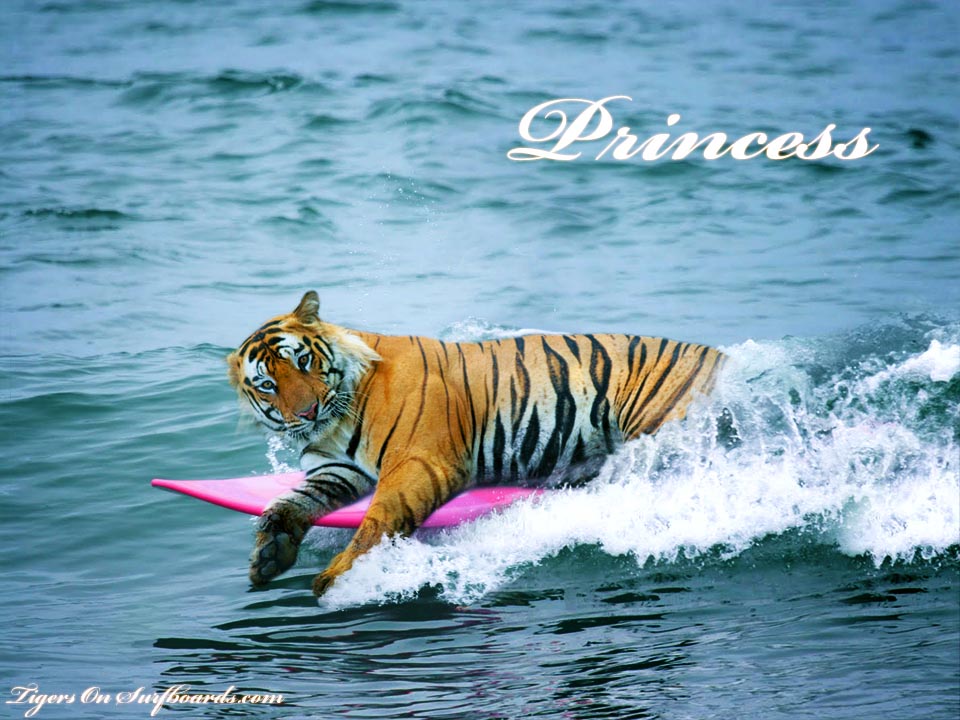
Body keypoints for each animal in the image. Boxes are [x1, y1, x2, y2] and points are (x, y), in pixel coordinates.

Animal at [227, 291, 725, 596]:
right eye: (268, 384)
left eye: (303, 361)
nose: (307, 412)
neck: (334, 421)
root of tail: (724, 360)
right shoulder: (336, 469)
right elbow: (289, 502)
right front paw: (269, 556)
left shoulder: (421, 463)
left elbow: (377, 520)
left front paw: (338, 579)